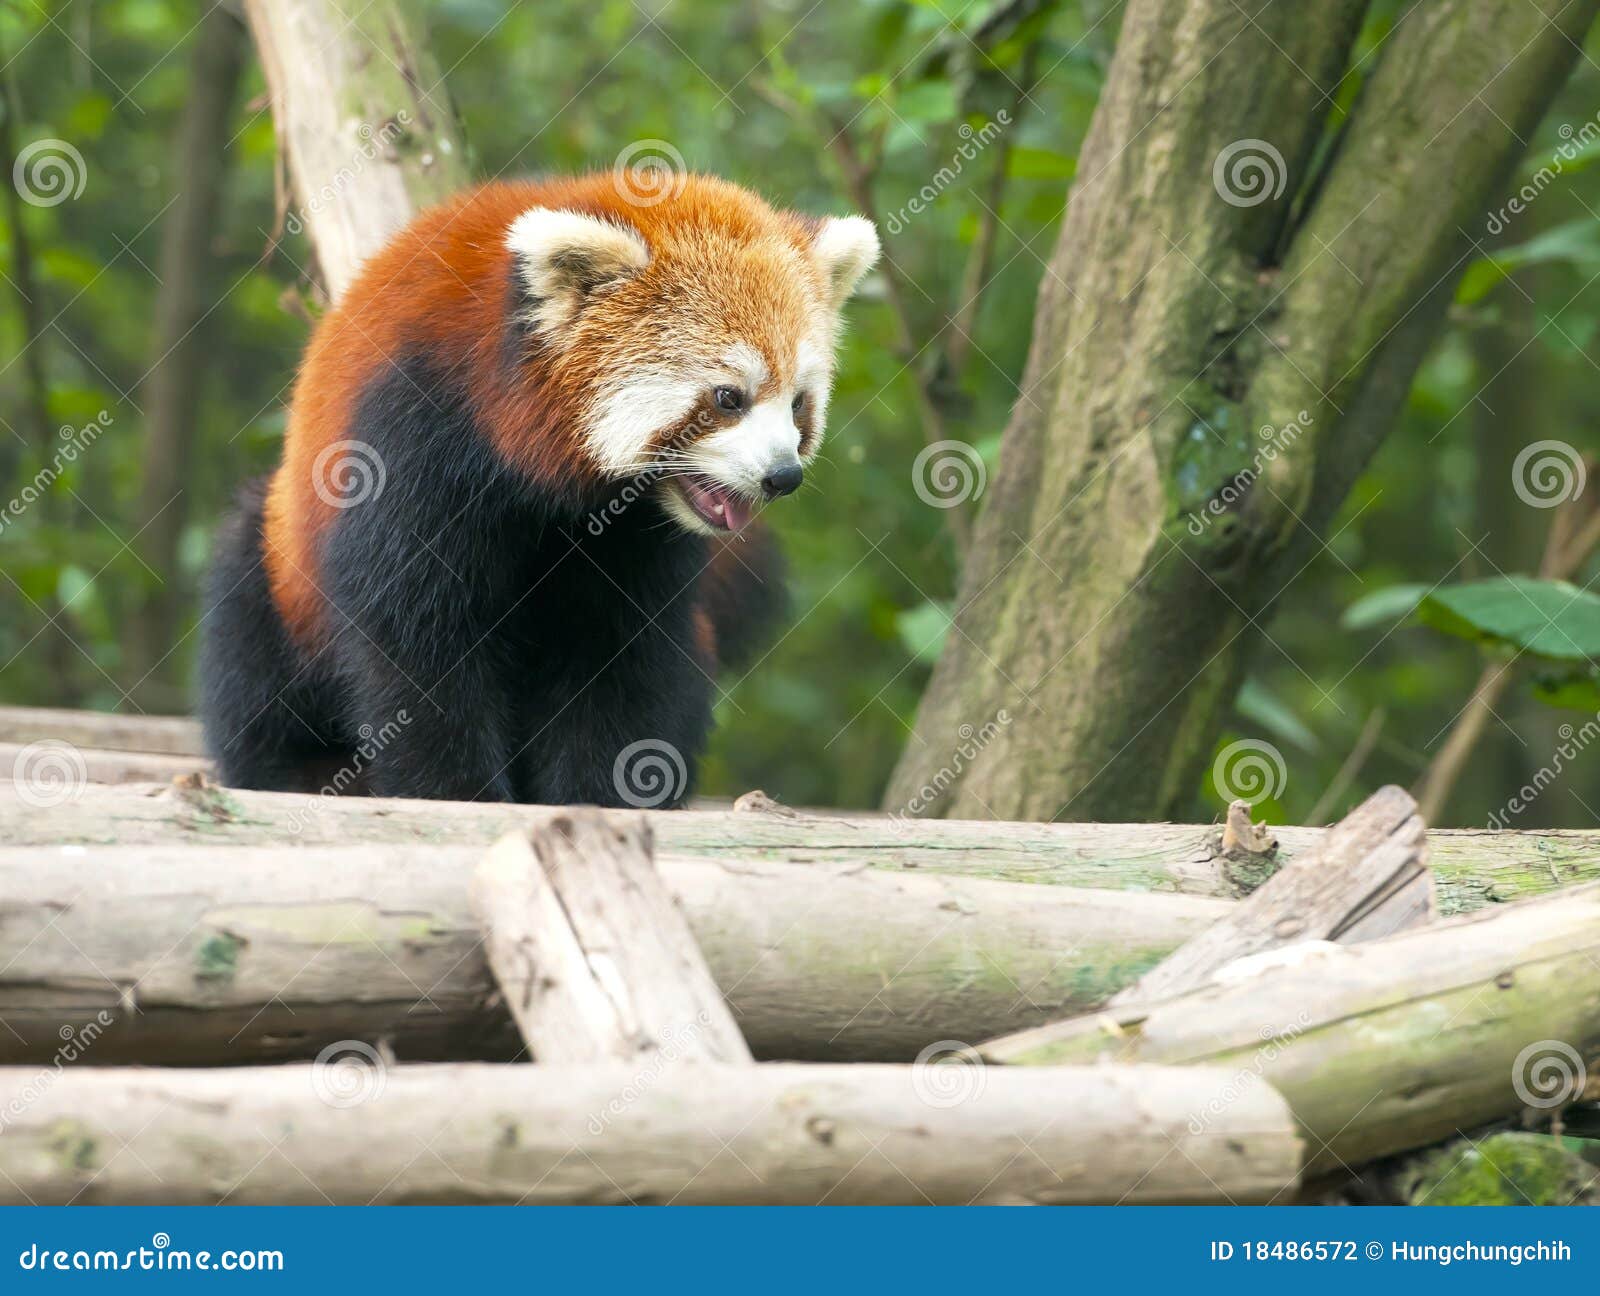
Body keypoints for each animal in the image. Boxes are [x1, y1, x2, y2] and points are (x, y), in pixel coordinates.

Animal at [198, 173, 879, 805]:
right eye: (728, 398)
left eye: (798, 404)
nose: (783, 475)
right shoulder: (404, 437)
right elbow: (414, 640)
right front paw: (456, 791)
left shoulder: (632, 542)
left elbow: (616, 655)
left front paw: (599, 794)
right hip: (278, 561)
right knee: (245, 630)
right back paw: (300, 770)